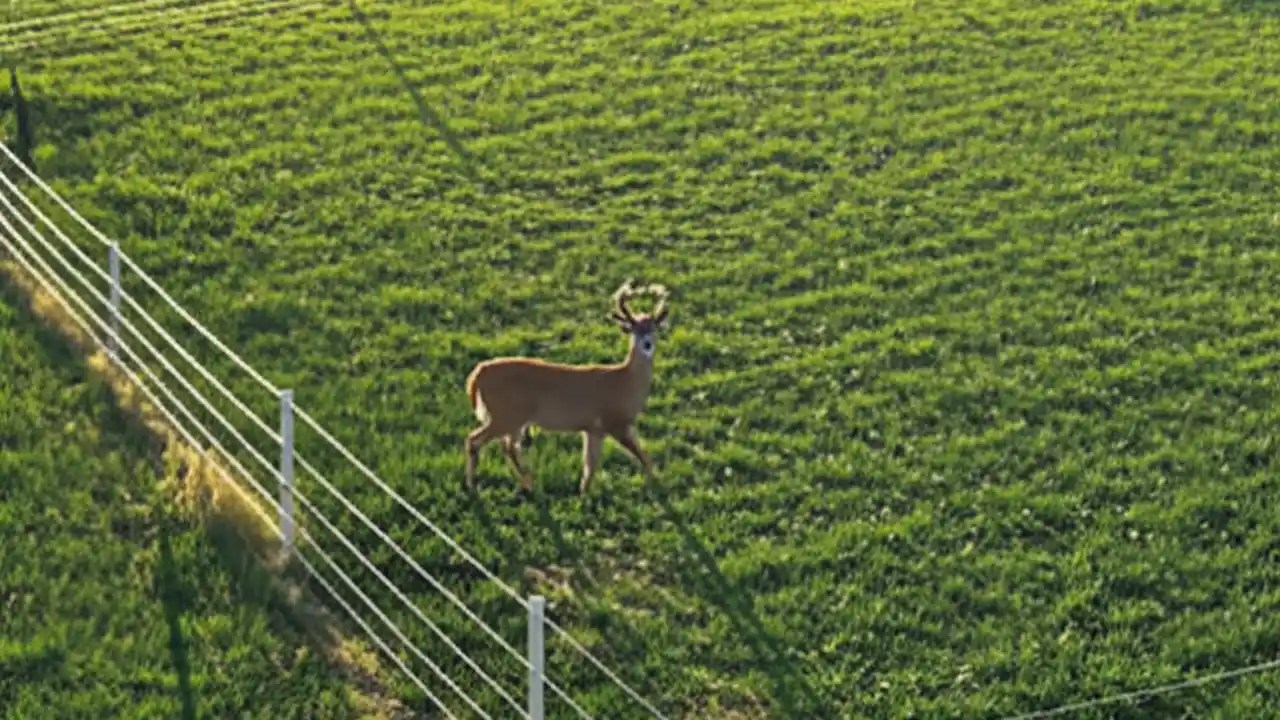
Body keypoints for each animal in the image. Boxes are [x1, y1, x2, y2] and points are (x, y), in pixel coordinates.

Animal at [463, 280, 670, 494]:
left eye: (654, 328)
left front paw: (584, 493)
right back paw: (473, 485)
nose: (647, 344)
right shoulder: (616, 422)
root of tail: (476, 375)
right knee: (475, 439)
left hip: (512, 419)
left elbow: (590, 465)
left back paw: (526, 484)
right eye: (634, 329)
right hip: (505, 415)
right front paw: (651, 487)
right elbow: (645, 459)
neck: (626, 381)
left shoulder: (594, 428)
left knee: (508, 446)